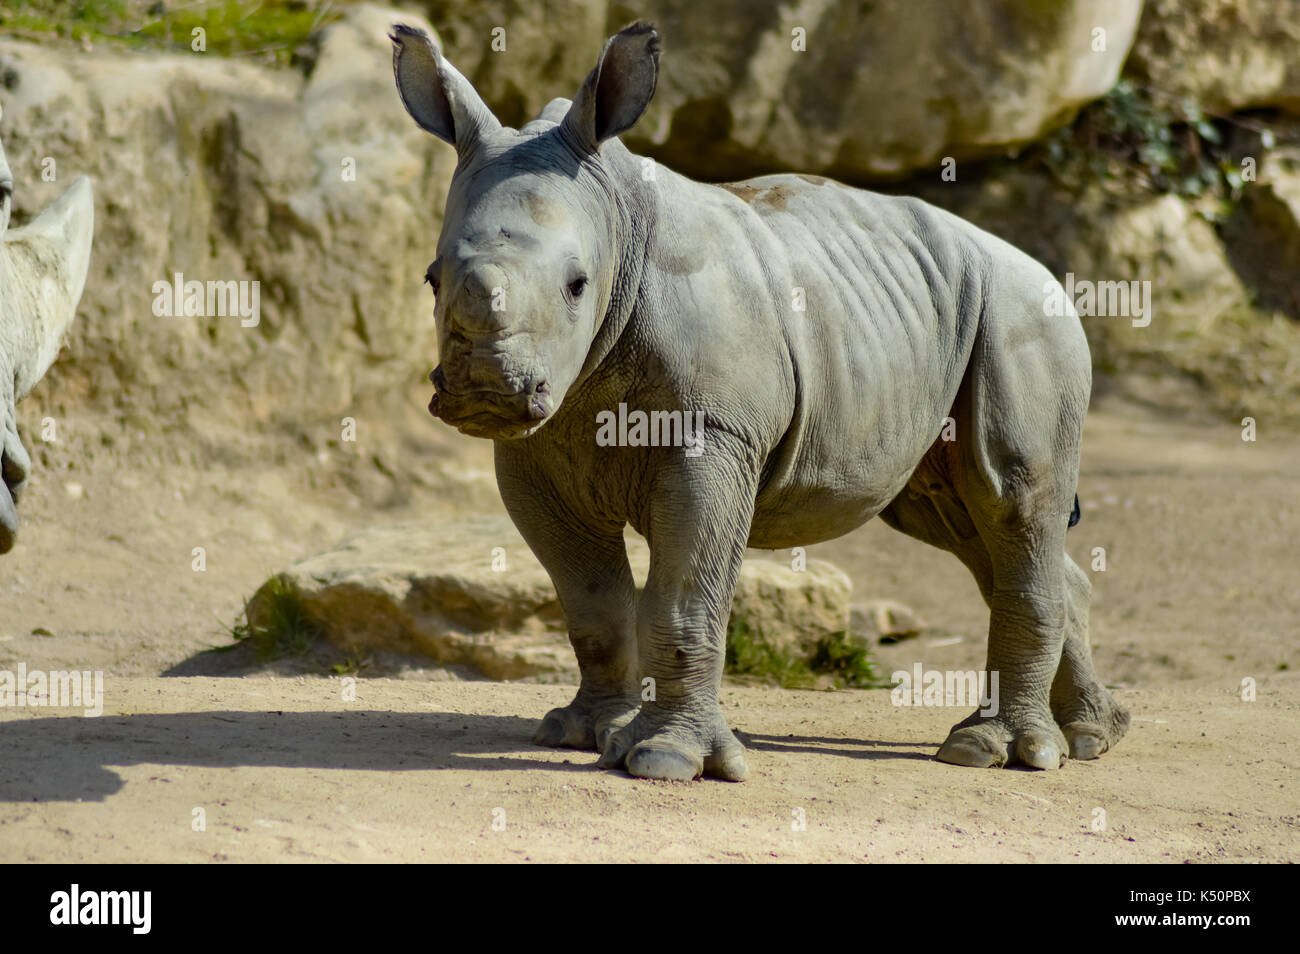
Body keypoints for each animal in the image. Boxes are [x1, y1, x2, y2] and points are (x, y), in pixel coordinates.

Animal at [390, 23, 1130, 780]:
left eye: (576, 285)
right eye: (430, 280)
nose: (488, 389)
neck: (618, 219)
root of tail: (1046, 273)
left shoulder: (712, 430)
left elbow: (683, 601)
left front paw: (663, 760)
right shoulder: (537, 453)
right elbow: (591, 604)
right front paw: (581, 733)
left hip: (1022, 314)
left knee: (1010, 496)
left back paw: (994, 752)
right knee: (961, 520)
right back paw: (1090, 738)